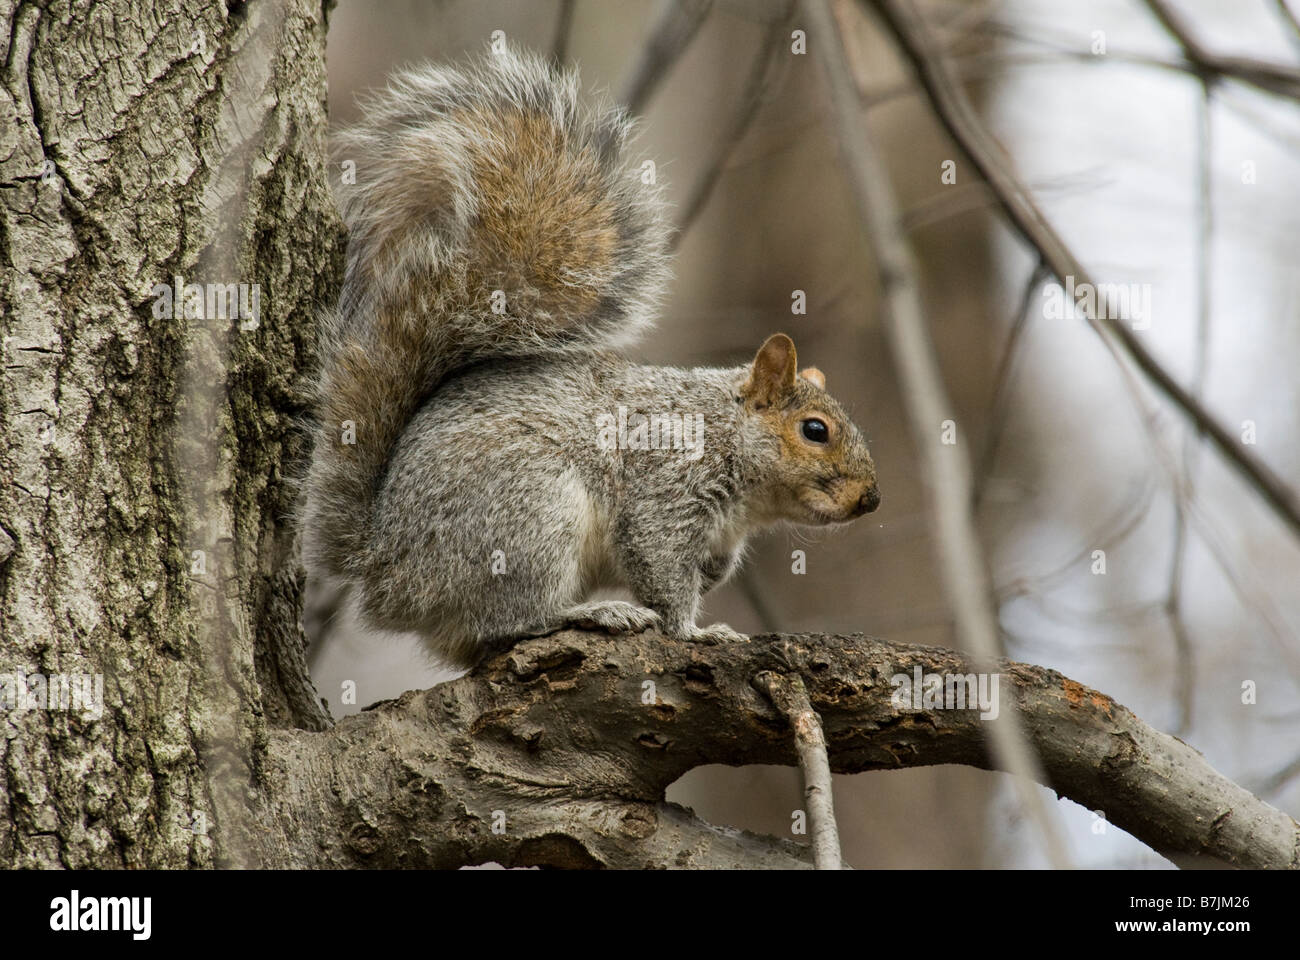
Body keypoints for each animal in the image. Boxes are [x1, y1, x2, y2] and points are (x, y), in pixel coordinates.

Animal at [302, 47, 880, 668]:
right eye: (816, 430)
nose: (871, 499)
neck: (726, 438)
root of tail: (384, 569)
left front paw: (713, 580)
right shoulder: (665, 487)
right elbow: (659, 566)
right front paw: (695, 631)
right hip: (530, 516)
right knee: (510, 619)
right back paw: (594, 612)